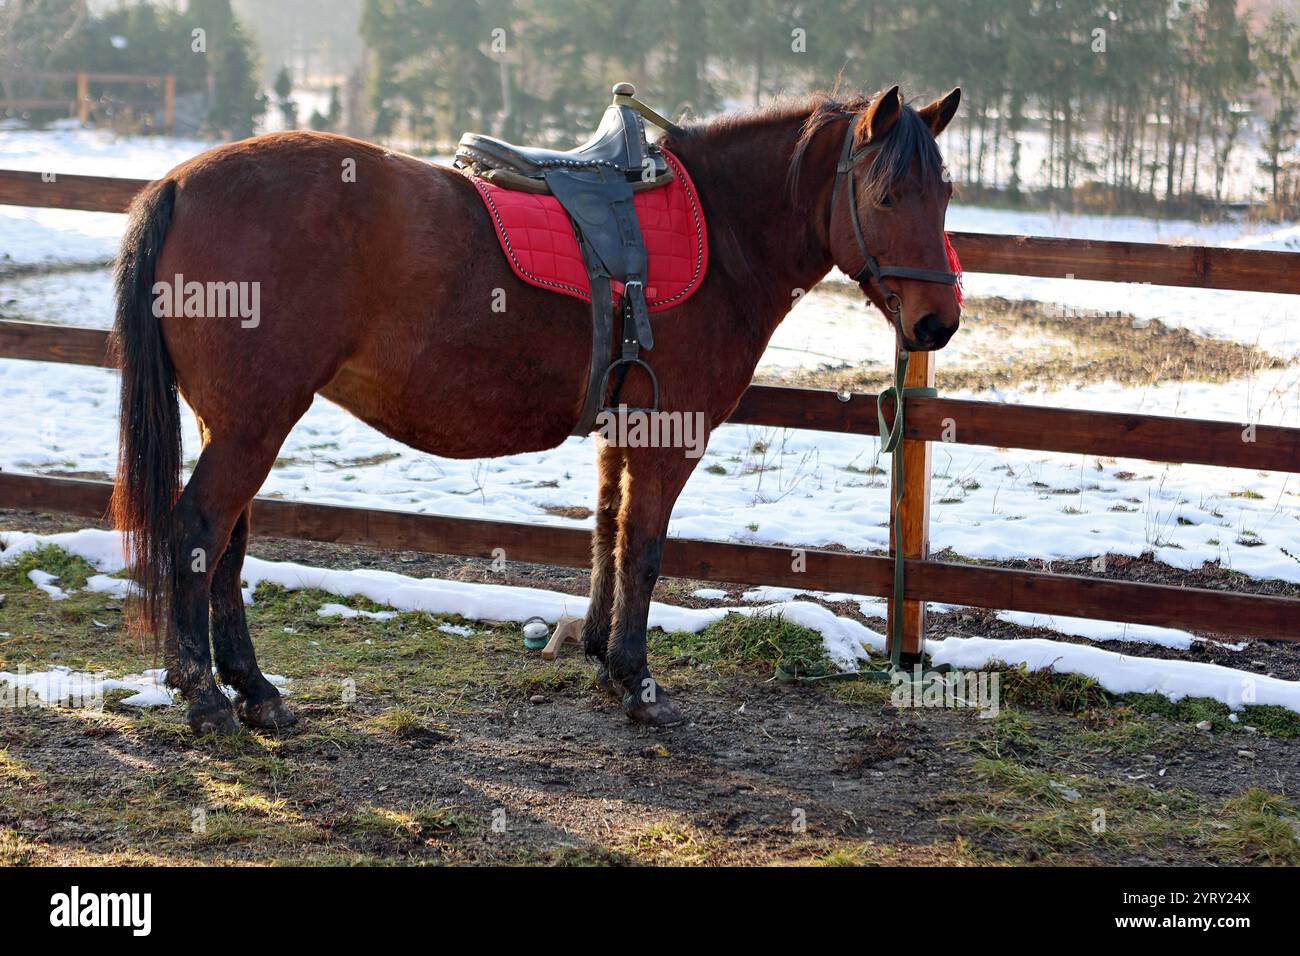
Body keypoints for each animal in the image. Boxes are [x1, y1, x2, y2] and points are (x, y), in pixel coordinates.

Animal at [109, 84, 962, 735]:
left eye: (946, 192)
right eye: (887, 195)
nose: (937, 324)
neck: (724, 233)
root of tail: (179, 183)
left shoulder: (623, 431)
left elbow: (608, 535)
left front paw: (602, 659)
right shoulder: (669, 434)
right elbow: (645, 550)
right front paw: (636, 681)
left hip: (240, 424)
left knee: (227, 546)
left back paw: (255, 692)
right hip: (253, 426)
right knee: (198, 534)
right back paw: (207, 696)